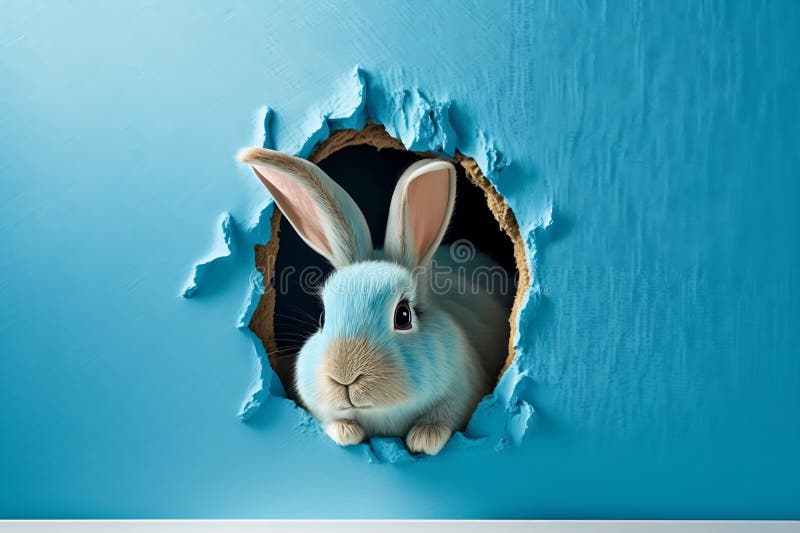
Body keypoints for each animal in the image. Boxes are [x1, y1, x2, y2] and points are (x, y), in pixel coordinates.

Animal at [238, 147, 510, 455]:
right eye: (323, 318)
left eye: (403, 316)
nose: (345, 378)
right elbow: (333, 420)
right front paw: (346, 432)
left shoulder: (463, 388)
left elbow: (444, 416)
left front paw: (425, 438)